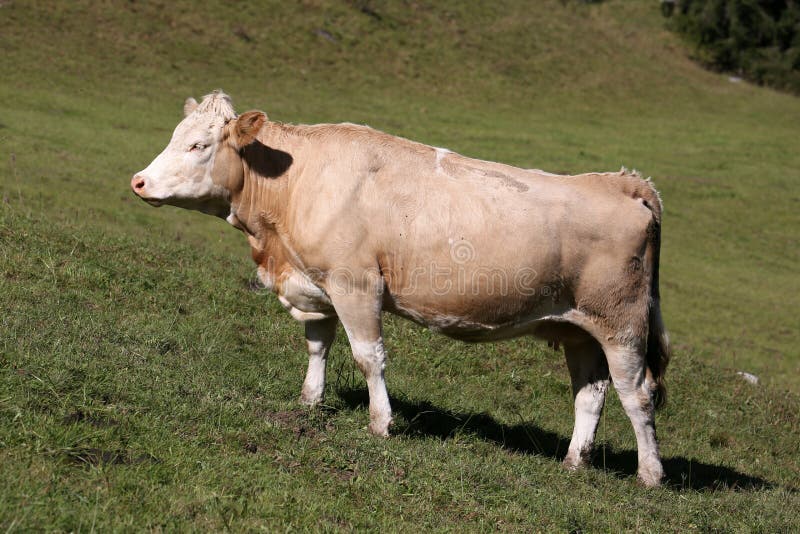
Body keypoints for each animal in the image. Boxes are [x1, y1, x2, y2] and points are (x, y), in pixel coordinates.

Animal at [131, 91, 671, 487]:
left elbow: (368, 357)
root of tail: (622, 182)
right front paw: (310, 400)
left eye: (199, 146)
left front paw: (380, 423)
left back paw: (649, 475)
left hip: (623, 324)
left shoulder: (357, 284)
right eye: (177, 137)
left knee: (636, 393)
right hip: (579, 328)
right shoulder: (316, 283)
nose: (138, 181)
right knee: (591, 394)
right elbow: (318, 345)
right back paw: (574, 461)